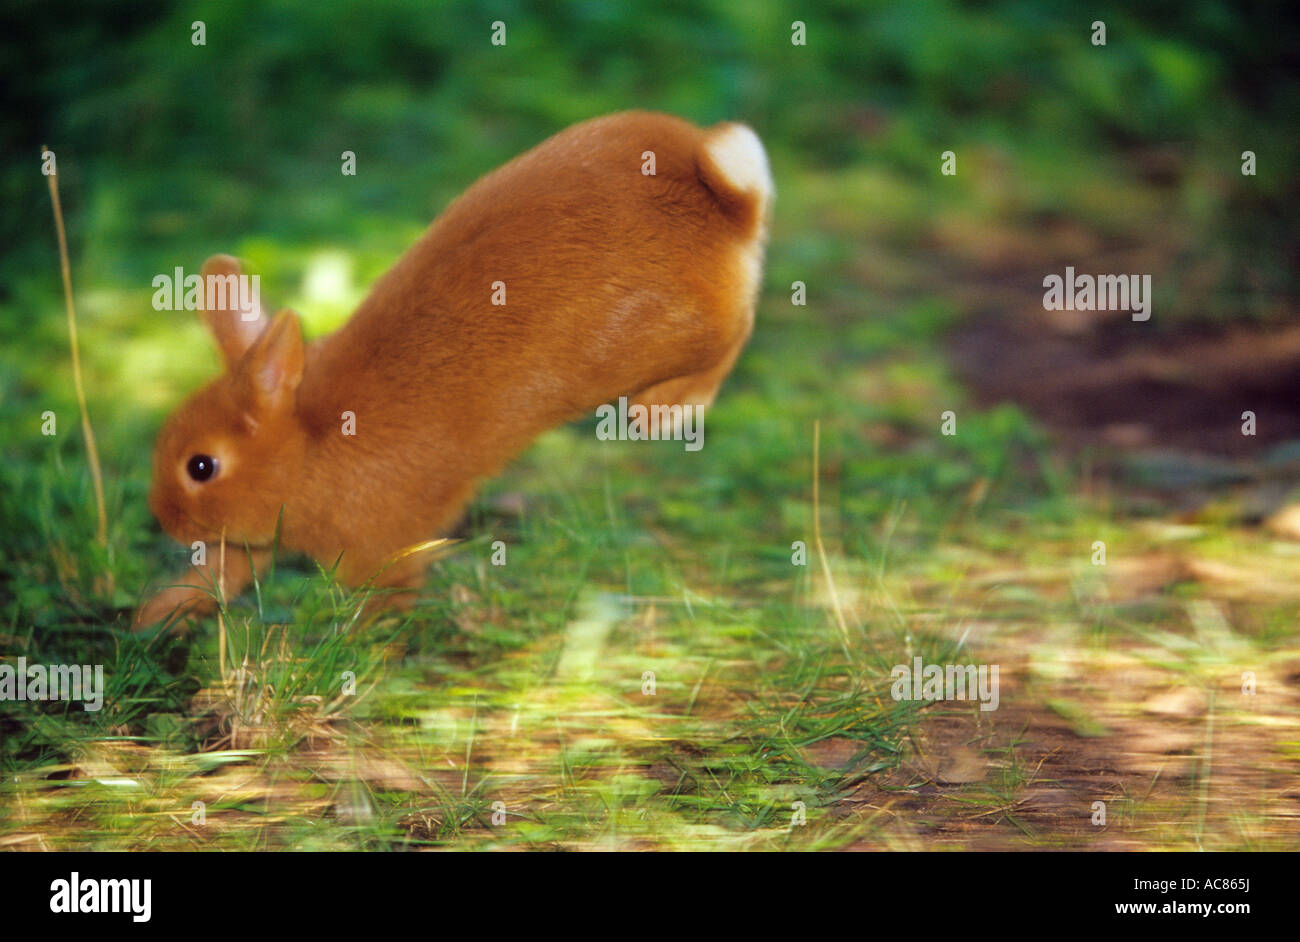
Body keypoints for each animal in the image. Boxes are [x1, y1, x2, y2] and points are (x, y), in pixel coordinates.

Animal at [135, 110, 773, 629]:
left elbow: (383, 599)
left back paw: (658, 413)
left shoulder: (381, 546)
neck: (306, 446)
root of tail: (729, 198)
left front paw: (357, 653)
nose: (166, 522)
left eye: (201, 466)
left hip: (669, 337)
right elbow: (230, 572)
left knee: (732, 335)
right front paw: (157, 614)